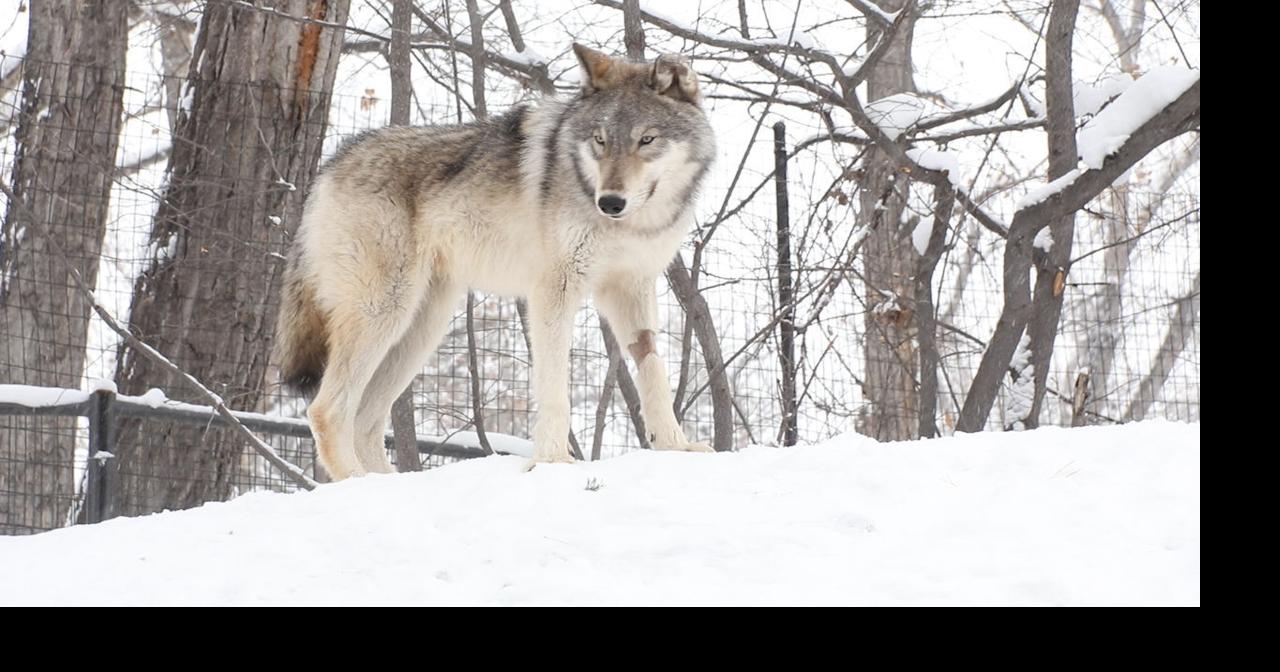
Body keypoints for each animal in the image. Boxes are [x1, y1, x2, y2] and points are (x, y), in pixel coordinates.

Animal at [274, 44, 717, 479]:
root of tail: (329, 167)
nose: (609, 202)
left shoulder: (631, 286)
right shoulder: (554, 289)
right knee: (327, 411)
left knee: (365, 420)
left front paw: (677, 448)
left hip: (421, 329)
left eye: (647, 139)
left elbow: (652, 371)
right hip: (384, 312)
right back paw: (358, 481)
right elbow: (554, 386)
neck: (633, 225)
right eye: (600, 140)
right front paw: (553, 462)